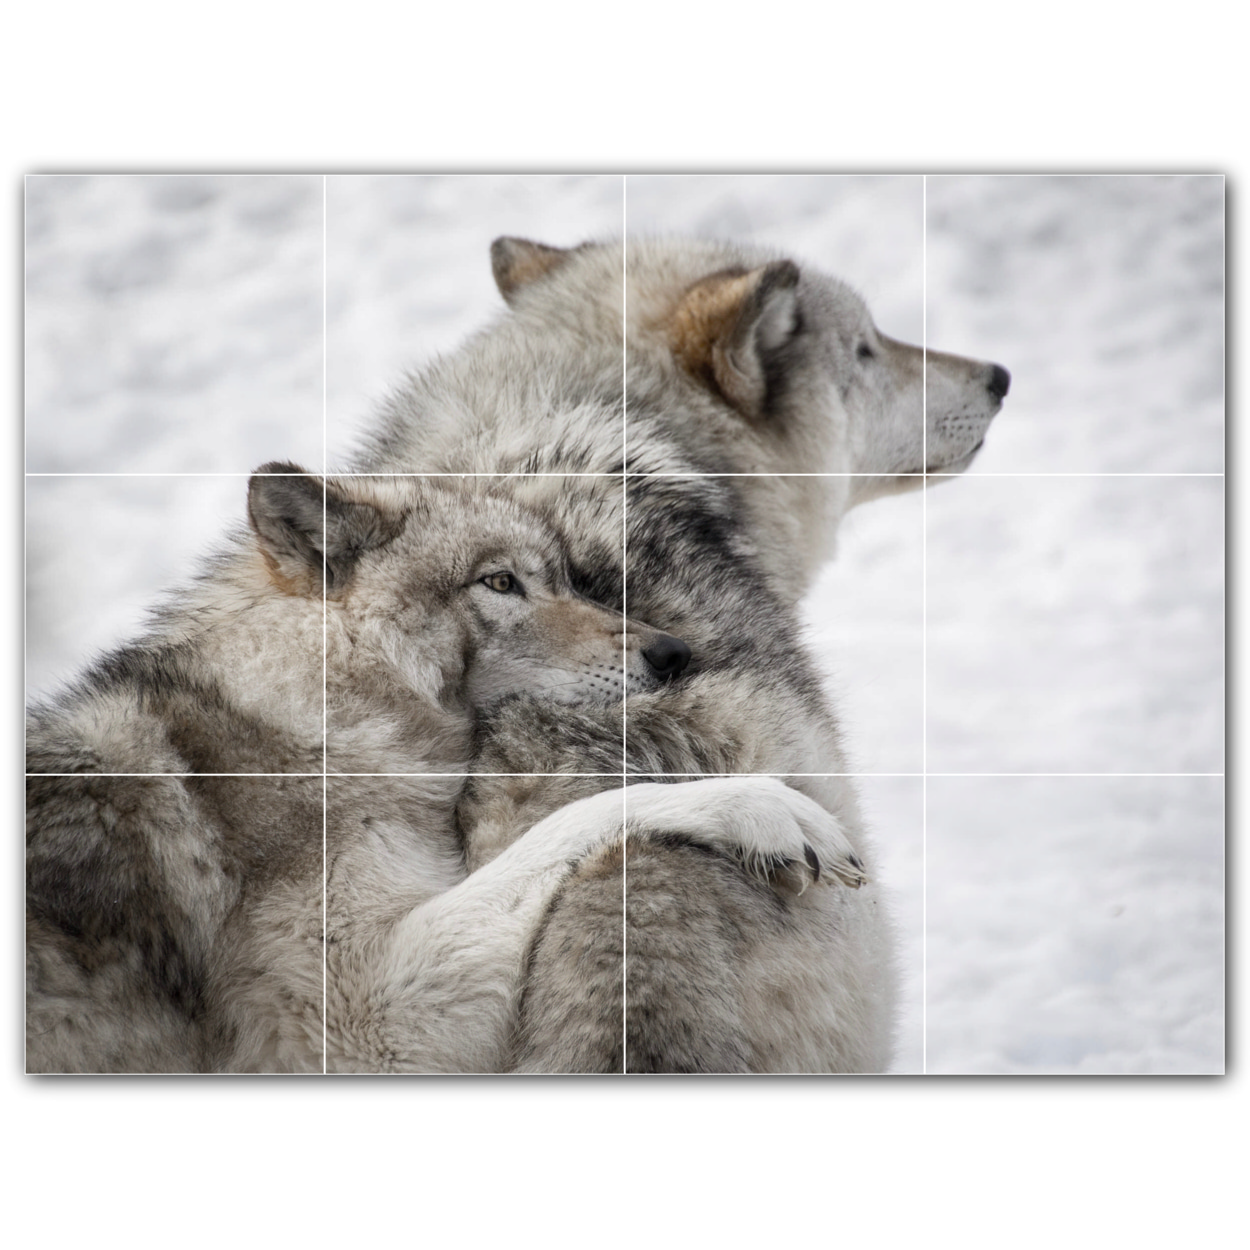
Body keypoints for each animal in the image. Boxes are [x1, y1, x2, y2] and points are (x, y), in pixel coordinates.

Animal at [27, 466, 863, 1072]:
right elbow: (578, 818)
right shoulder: (364, 1022)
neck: (315, 716)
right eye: (500, 582)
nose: (672, 653)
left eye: (566, 578)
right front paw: (764, 809)